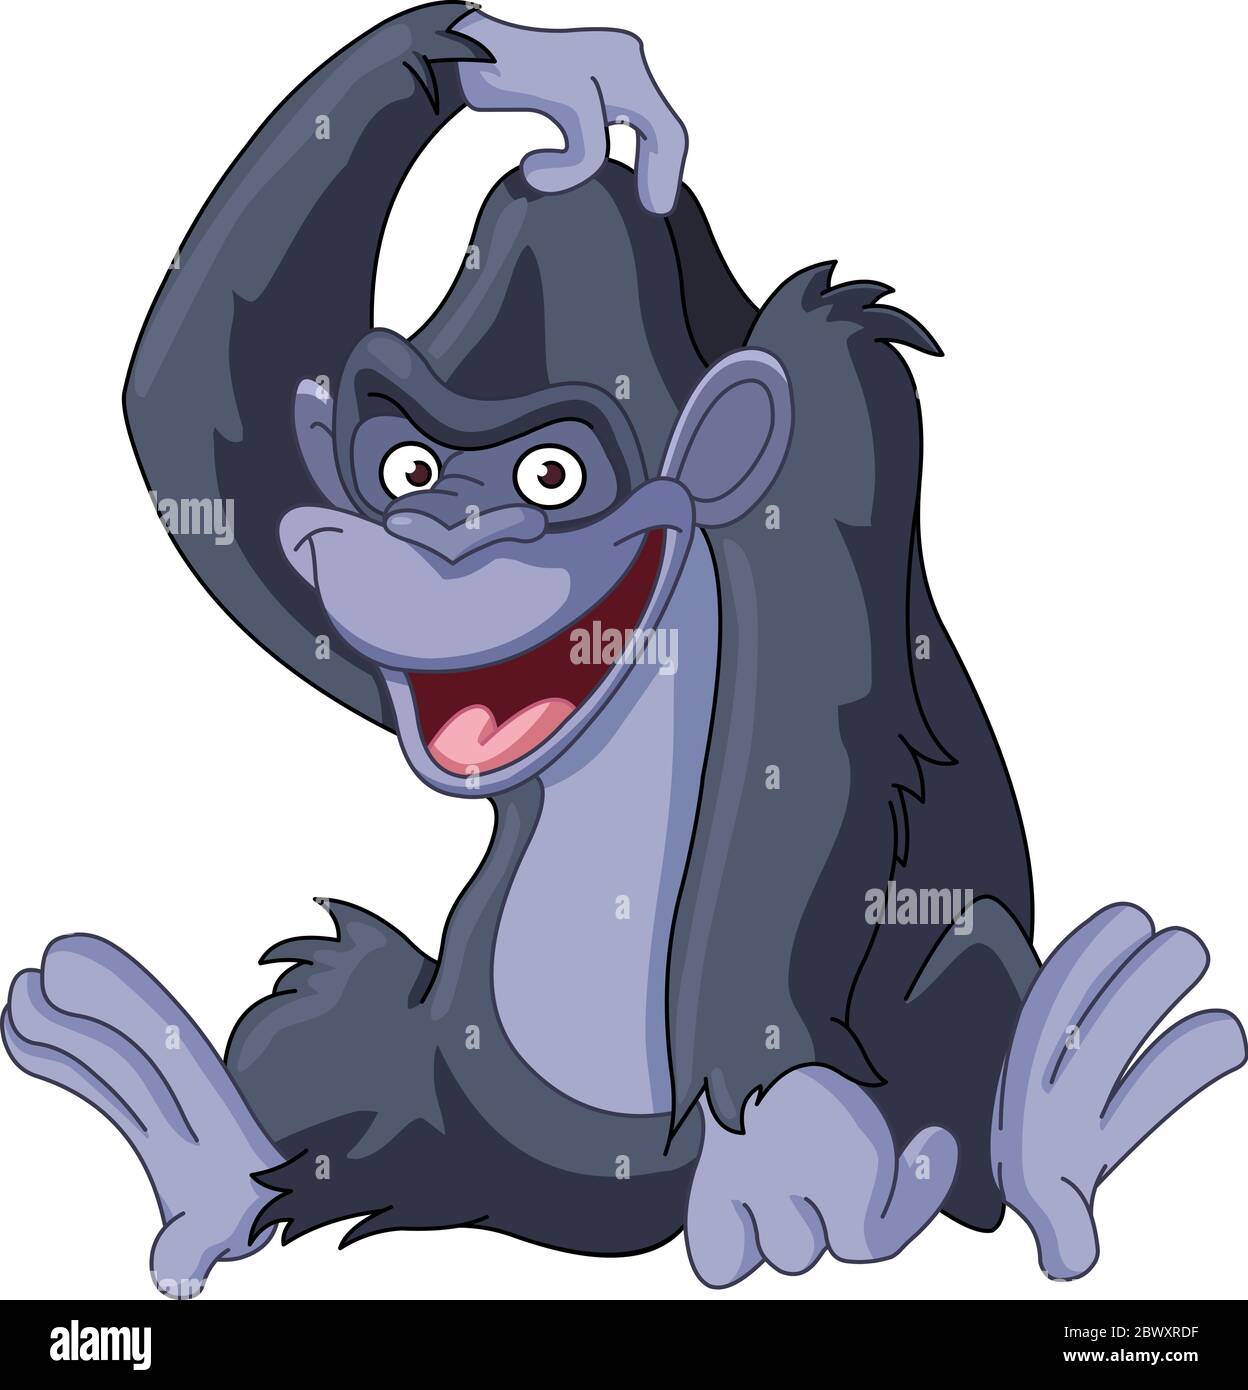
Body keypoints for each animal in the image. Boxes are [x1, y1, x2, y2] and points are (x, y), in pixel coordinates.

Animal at [4, 5, 1244, 1297]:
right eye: (407, 469)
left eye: (554, 475)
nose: (433, 539)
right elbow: (211, 445)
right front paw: (545, 68)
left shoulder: (846, 432)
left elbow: (805, 771)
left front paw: (788, 1139)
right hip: (451, 1084)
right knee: (338, 1030)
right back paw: (200, 1145)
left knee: (970, 974)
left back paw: (1055, 1131)